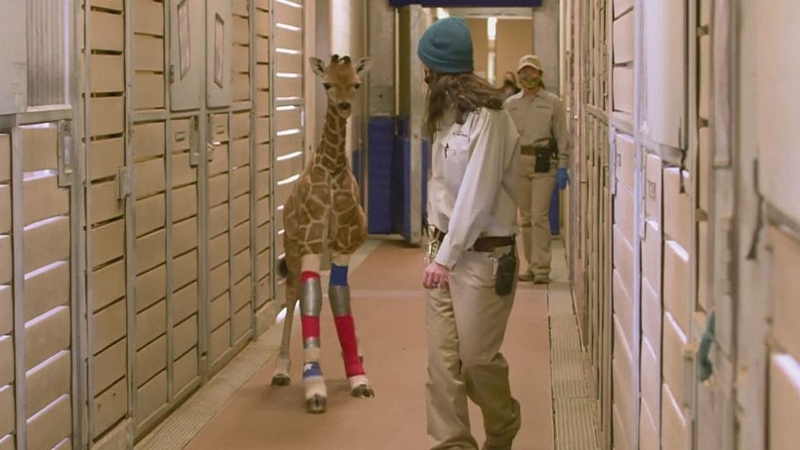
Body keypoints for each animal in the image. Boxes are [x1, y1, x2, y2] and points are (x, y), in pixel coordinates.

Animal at [271, 55, 374, 413]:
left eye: (356, 82)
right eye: (326, 83)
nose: (344, 106)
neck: (331, 169)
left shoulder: (343, 241)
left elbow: (339, 297)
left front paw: (358, 377)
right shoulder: (311, 238)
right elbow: (311, 297)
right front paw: (314, 387)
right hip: (292, 247)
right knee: (293, 295)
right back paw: (281, 370)